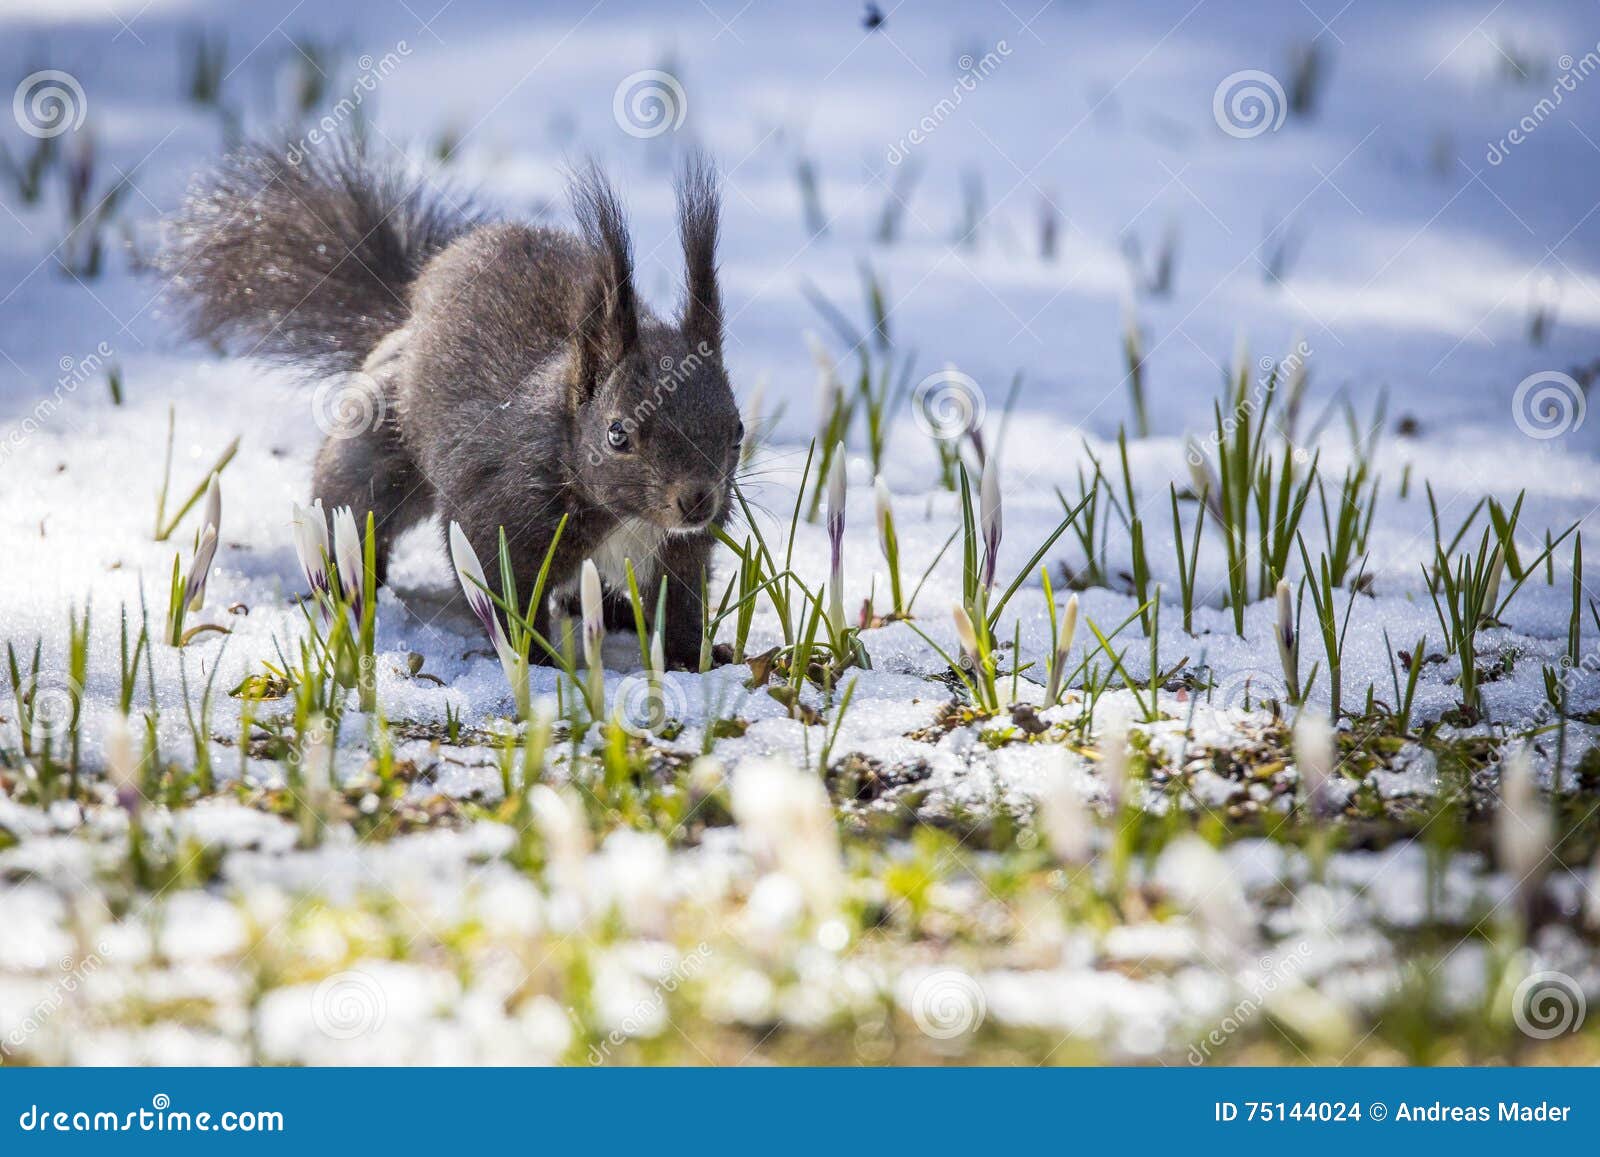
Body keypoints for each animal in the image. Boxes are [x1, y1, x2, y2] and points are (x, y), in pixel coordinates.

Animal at [158, 140, 742, 666]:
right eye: (617, 434)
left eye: (737, 432)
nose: (697, 500)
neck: (624, 515)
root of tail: (409, 306)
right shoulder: (501, 508)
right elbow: (504, 595)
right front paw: (538, 661)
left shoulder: (680, 551)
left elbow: (682, 603)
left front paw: (694, 660)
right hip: (375, 443)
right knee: (352, 504)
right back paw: (346, 587)